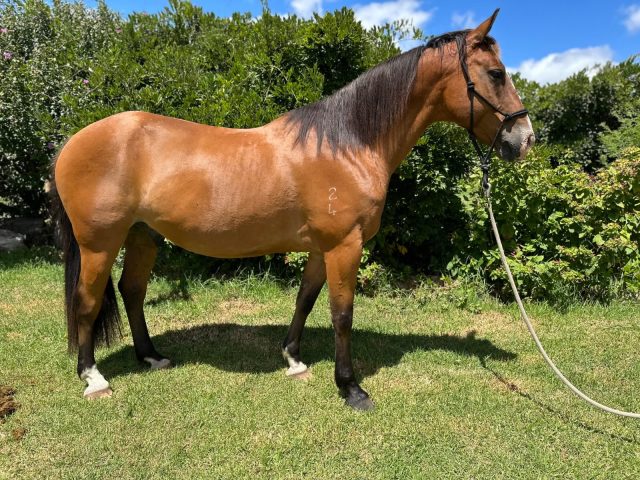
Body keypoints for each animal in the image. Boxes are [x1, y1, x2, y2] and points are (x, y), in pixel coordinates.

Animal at [51, 10, 534, 409]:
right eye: (496, 73)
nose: (525, 139)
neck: (347, 145)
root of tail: (72, 143)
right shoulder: (345, 246)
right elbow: (342, 314)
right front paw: (351, 388)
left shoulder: (323, 248)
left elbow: (305, 300)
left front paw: (294, 359)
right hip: (99, 243)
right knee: (86, 301)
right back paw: (93, 377)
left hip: (142, 235)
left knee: (131, 292)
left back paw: (151, 357)